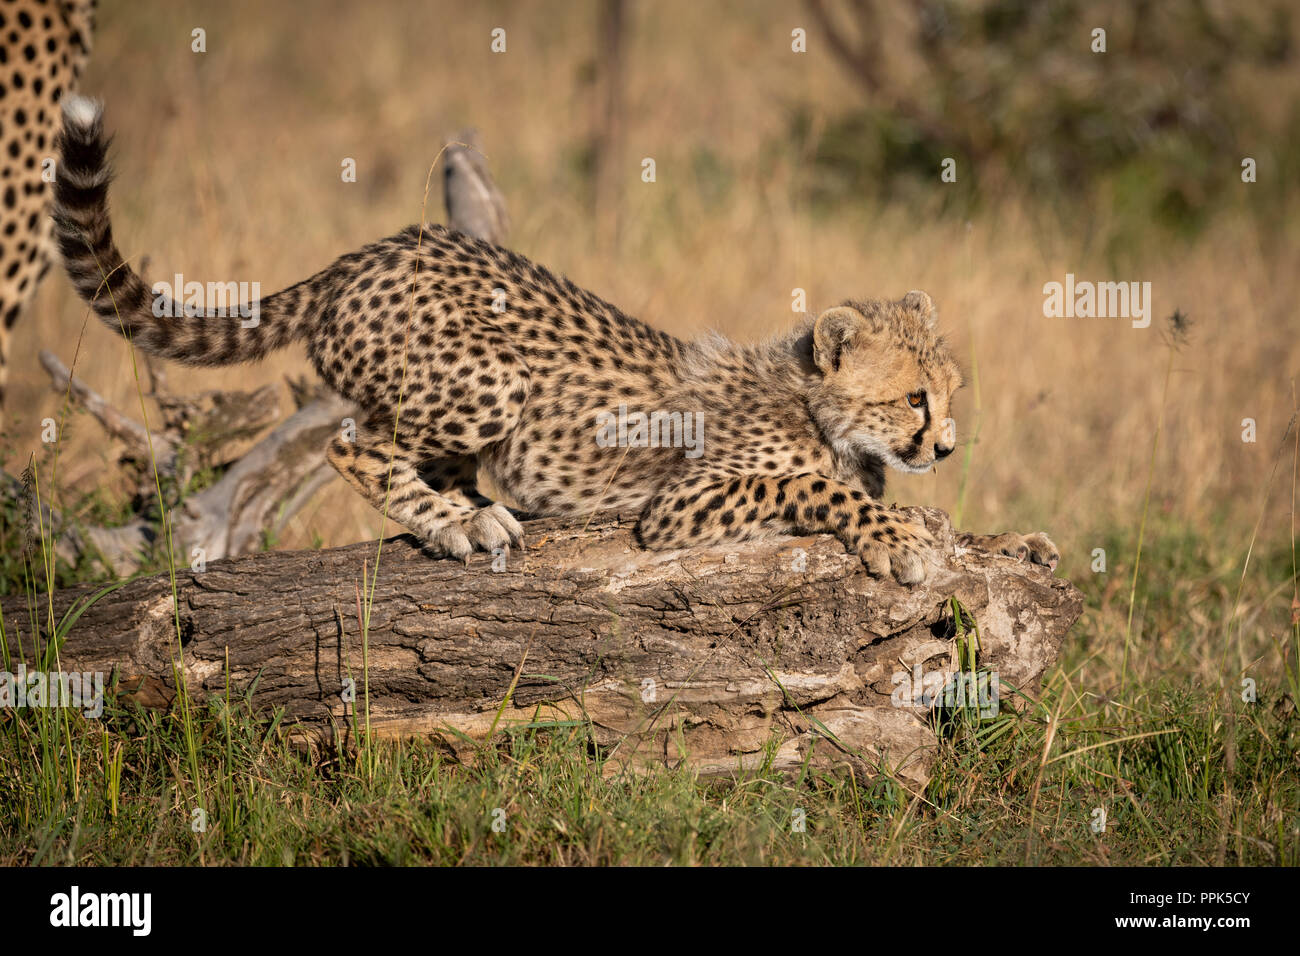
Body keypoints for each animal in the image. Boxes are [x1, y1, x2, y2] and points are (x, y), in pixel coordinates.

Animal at [52, 94, 1058, 584]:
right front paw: (893, 535)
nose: (948, 446)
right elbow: (813, 489)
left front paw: (1014, 539)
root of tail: (373, 249)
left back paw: (474, 508)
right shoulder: (682, 504)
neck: (818, 407)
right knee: (351, 444)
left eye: (951, 395)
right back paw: (457, 524)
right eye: (915, 398)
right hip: (489, 376)